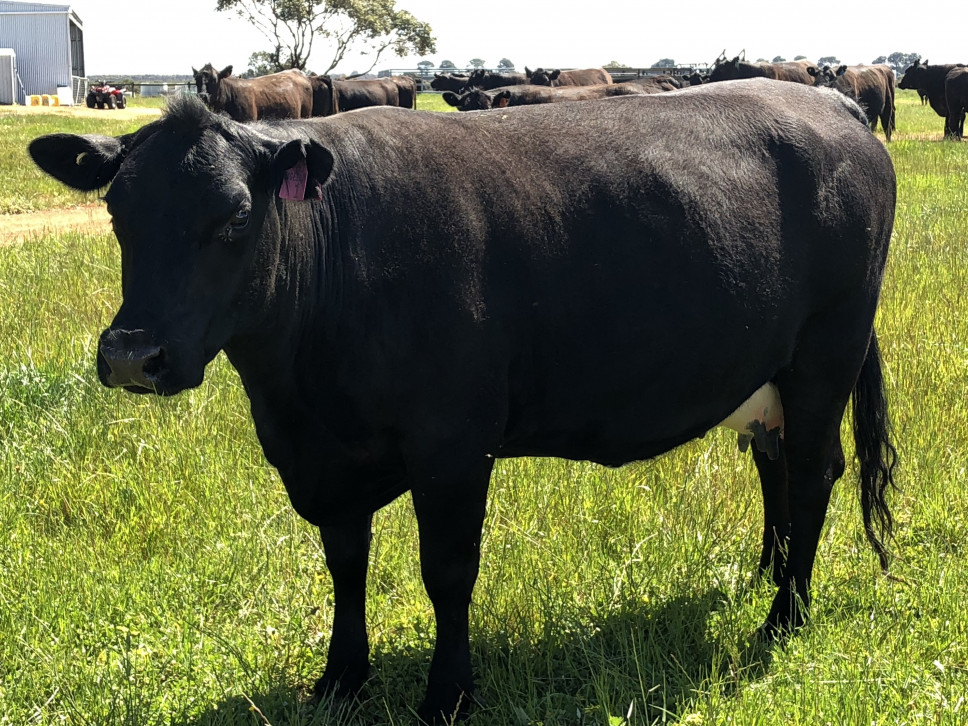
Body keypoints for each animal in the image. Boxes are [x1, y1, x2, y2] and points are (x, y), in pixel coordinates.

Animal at [28, 79, 897, 725]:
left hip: (828, 349)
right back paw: (767, 573)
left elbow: (447, 570)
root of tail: (833, 102)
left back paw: (785, 616)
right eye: (116, 211)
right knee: (775, 466)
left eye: (236, 217)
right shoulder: (326, 459)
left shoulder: (452, 444)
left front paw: (448, 694)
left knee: (814, 473)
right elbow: (345, 562)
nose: (132, 355)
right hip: (770, 369)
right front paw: (341, 679)